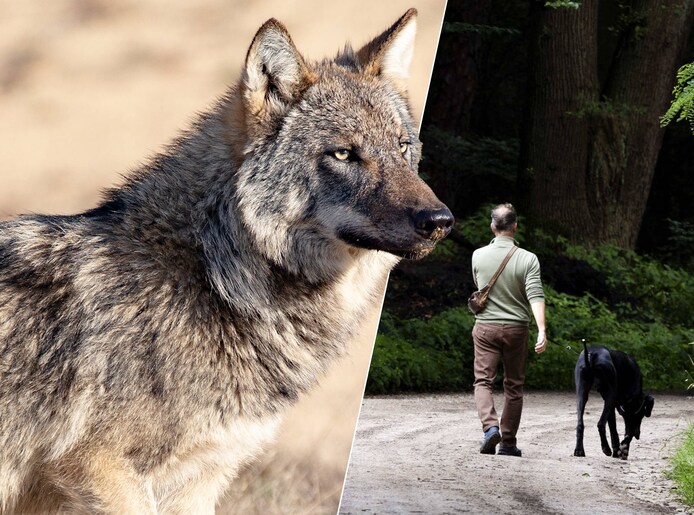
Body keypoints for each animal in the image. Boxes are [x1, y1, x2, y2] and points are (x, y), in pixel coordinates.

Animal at [0, 8, 453, 514]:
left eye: (401, 147)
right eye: (343, 153)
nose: (440, 221)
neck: (212, 275)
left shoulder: (201, 478)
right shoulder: (99, 467)